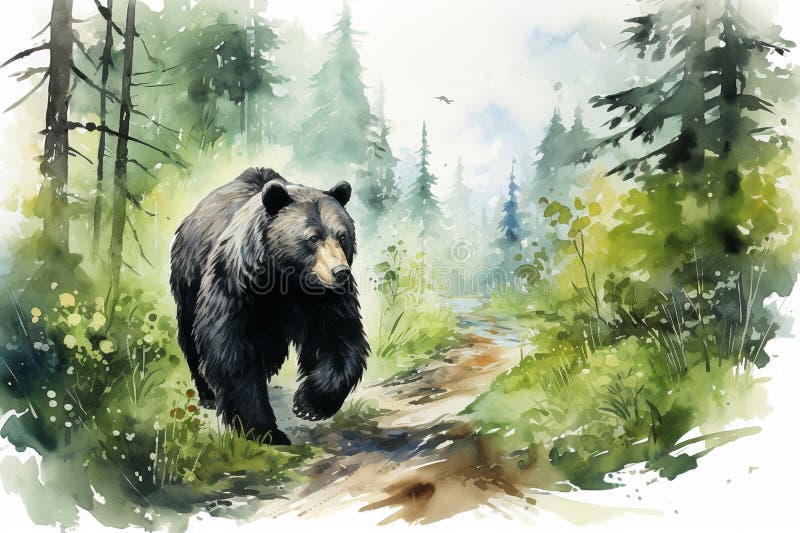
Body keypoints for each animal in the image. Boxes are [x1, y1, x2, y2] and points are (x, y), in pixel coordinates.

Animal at [169, 167, 369, 445]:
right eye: (313, 237)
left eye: (342, 235)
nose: (340, 271)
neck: (284, 278)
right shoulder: (236, 283)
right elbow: (230, 349)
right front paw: (265, 430)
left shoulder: (324, 299)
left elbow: (339, 337)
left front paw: (308, 404)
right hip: (189, 277)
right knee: (191, 335)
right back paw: (208, 393)